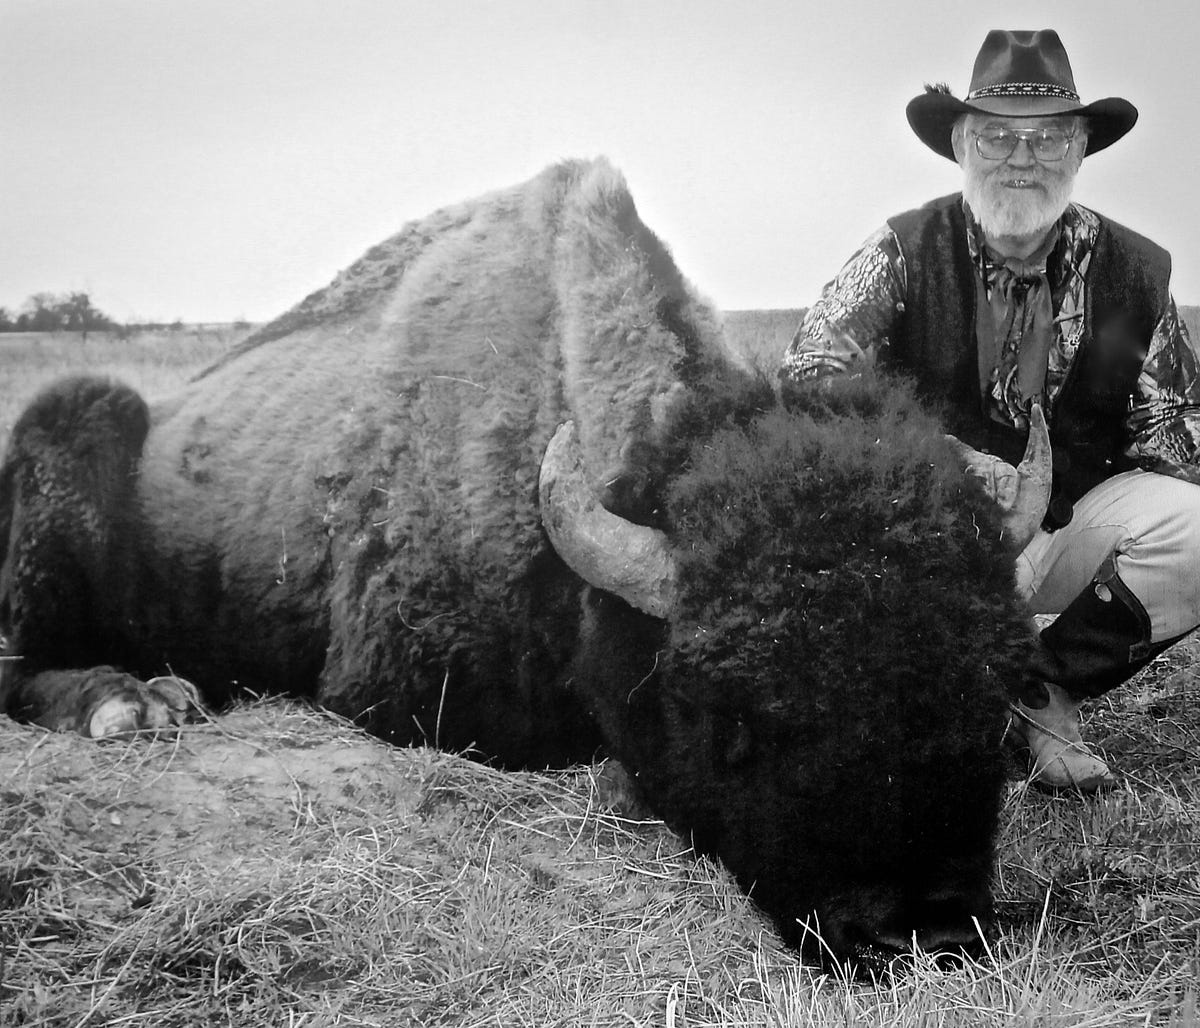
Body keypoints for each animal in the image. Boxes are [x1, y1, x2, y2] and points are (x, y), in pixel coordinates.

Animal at [0, 159, 1044, 966]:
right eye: (731, 713)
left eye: (994, 688)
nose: (919, 934)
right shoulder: (399, 691)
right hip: (69, 433)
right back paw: (135, 702)